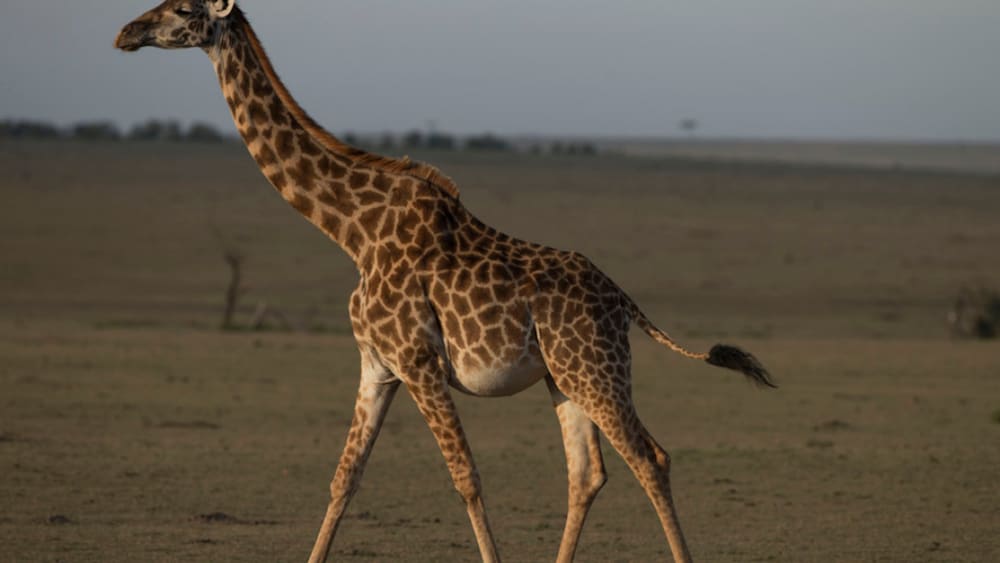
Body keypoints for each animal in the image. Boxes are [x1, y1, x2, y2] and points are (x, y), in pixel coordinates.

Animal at [115, 2, 775, 562]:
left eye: (179, 8)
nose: (126, 32)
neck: (352, 230)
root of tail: (623, 299)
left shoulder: (419, 361)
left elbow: (466, 477)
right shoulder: (376, 364)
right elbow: (344, 478)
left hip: (596, 369)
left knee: (649, 458)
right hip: (565, 377)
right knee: (587, 473)